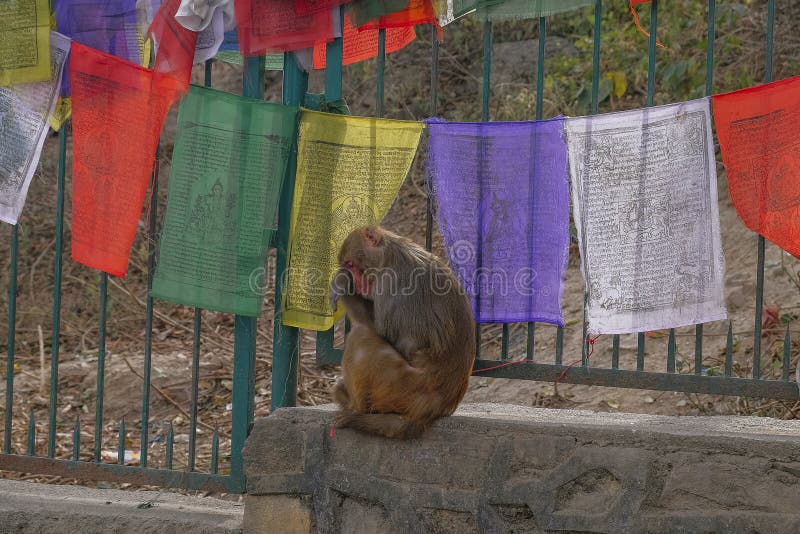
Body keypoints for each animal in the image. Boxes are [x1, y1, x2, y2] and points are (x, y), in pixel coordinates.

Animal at [329, 226, 476, 439]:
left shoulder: (389, 281)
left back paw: (356, 408)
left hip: (401, 386)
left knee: (361, 336)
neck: (388, 254)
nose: (357, 282)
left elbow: (380, 330)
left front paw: (342, 282)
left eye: (350, 264)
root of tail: (436, 407)